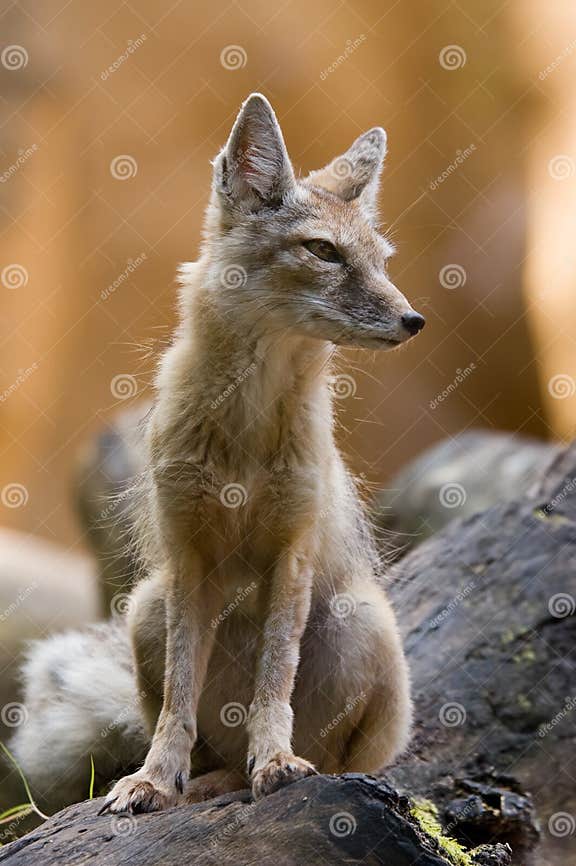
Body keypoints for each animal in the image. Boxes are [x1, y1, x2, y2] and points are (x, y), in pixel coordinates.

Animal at [11, 93, 425, 813]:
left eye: (382, 259)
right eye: (323, 251)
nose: (413, 320)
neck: (245, 425)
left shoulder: (291, 552)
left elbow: (273, 683)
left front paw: (277, 761)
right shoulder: (189, 557)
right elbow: (179, 698)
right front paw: (154, 779)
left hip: (362, 617)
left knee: (323, 755)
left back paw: (266, 771)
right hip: (145, 607)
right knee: (202, 740)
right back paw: (201, 781)